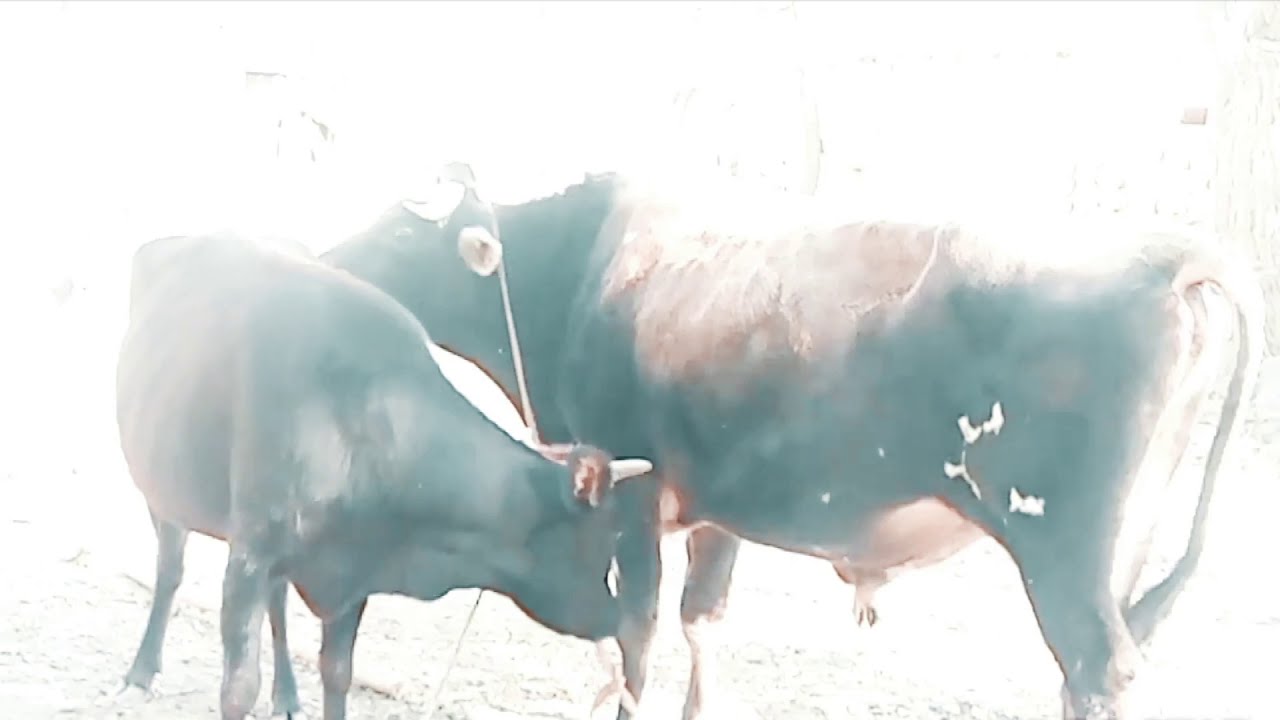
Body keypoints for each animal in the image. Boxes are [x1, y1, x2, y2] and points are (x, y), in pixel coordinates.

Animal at [114, 229, 654, 720]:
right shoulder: (251, 555)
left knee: (277, 605)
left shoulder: (354, 568)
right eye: (605, 543)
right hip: (164, 487)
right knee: (170, 571)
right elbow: (239, 688)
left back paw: (286, 694)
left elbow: (337, 673)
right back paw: (141, 670)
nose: (620, 620)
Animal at [317, 167, 1263, 720]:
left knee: (1098, 669)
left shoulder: (631, 491)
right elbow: (701, 623)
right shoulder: (712, 505)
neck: (579, 270)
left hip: (1064, 549)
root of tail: (1166, 253)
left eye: (398, 232)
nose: (321, 262)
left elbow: (635, 634)